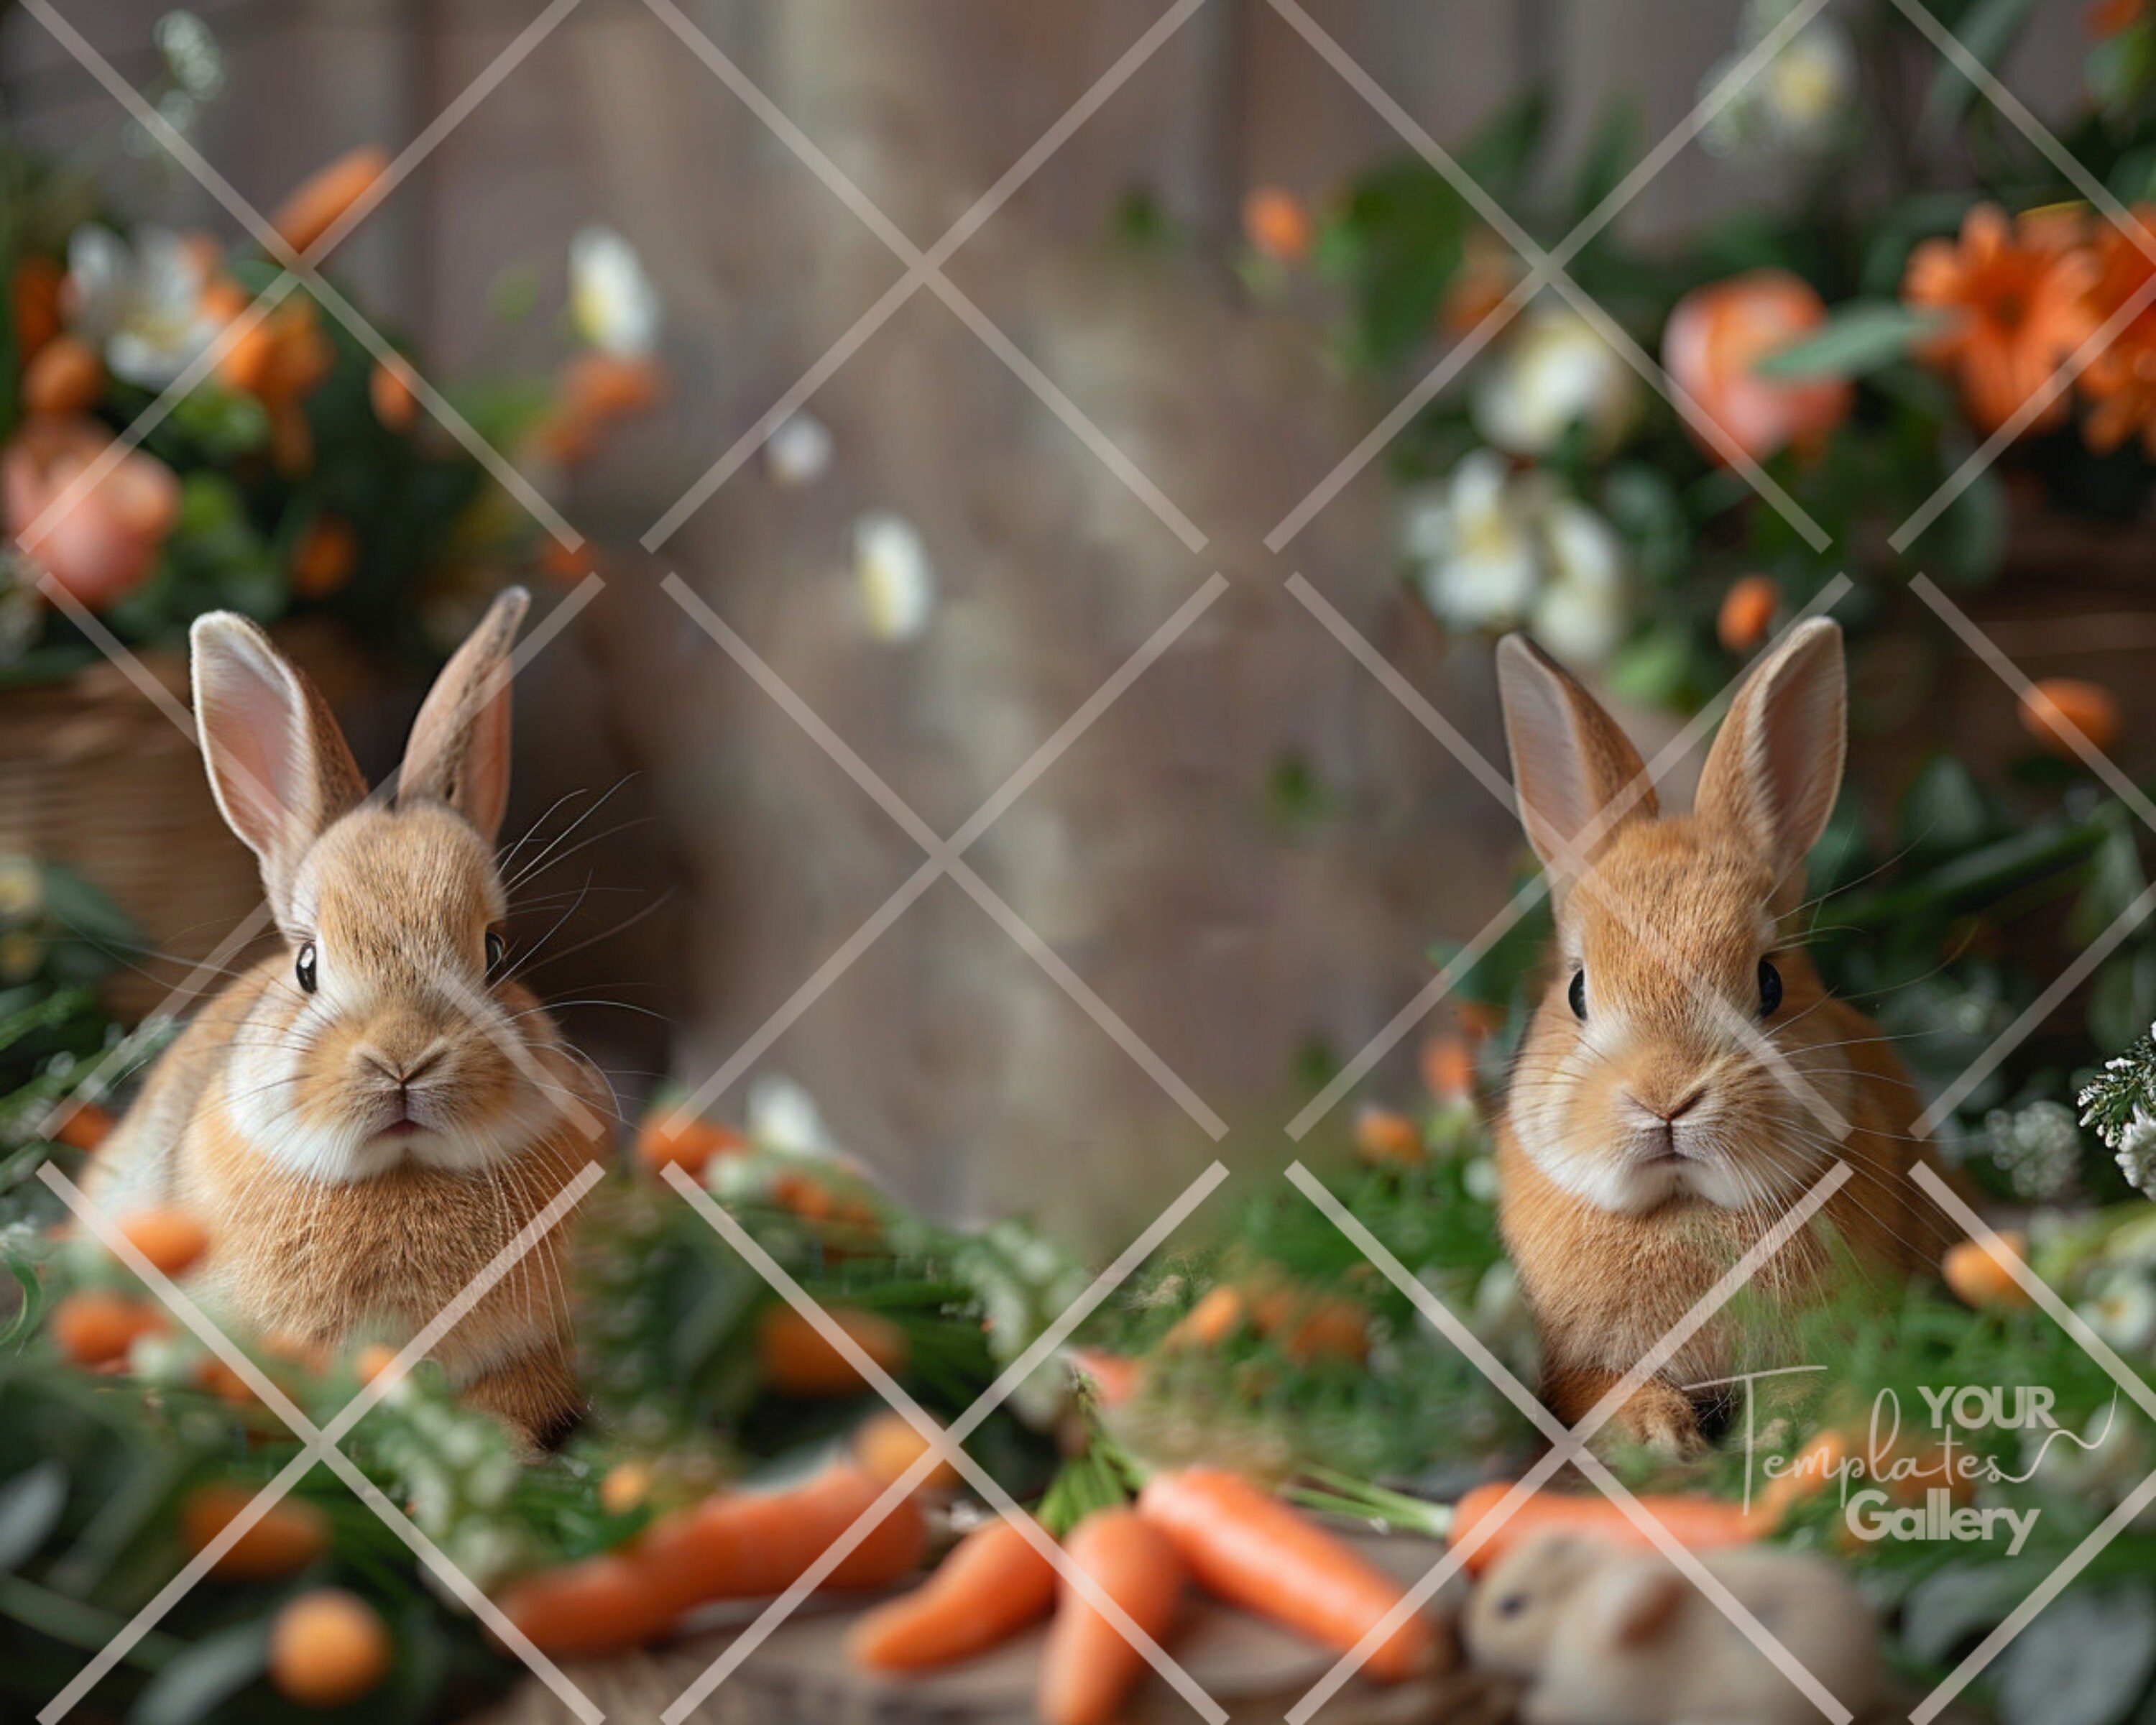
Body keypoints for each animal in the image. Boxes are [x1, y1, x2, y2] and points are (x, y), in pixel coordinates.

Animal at [1491, 619, 1955, 1456]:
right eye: (1578, 990)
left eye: (1769, 984)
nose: (1666, 1100)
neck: (1684, 1210)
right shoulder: (1570, 1367)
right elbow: (1596, 1390)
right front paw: (1656, 1432)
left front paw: (1780, 1428)